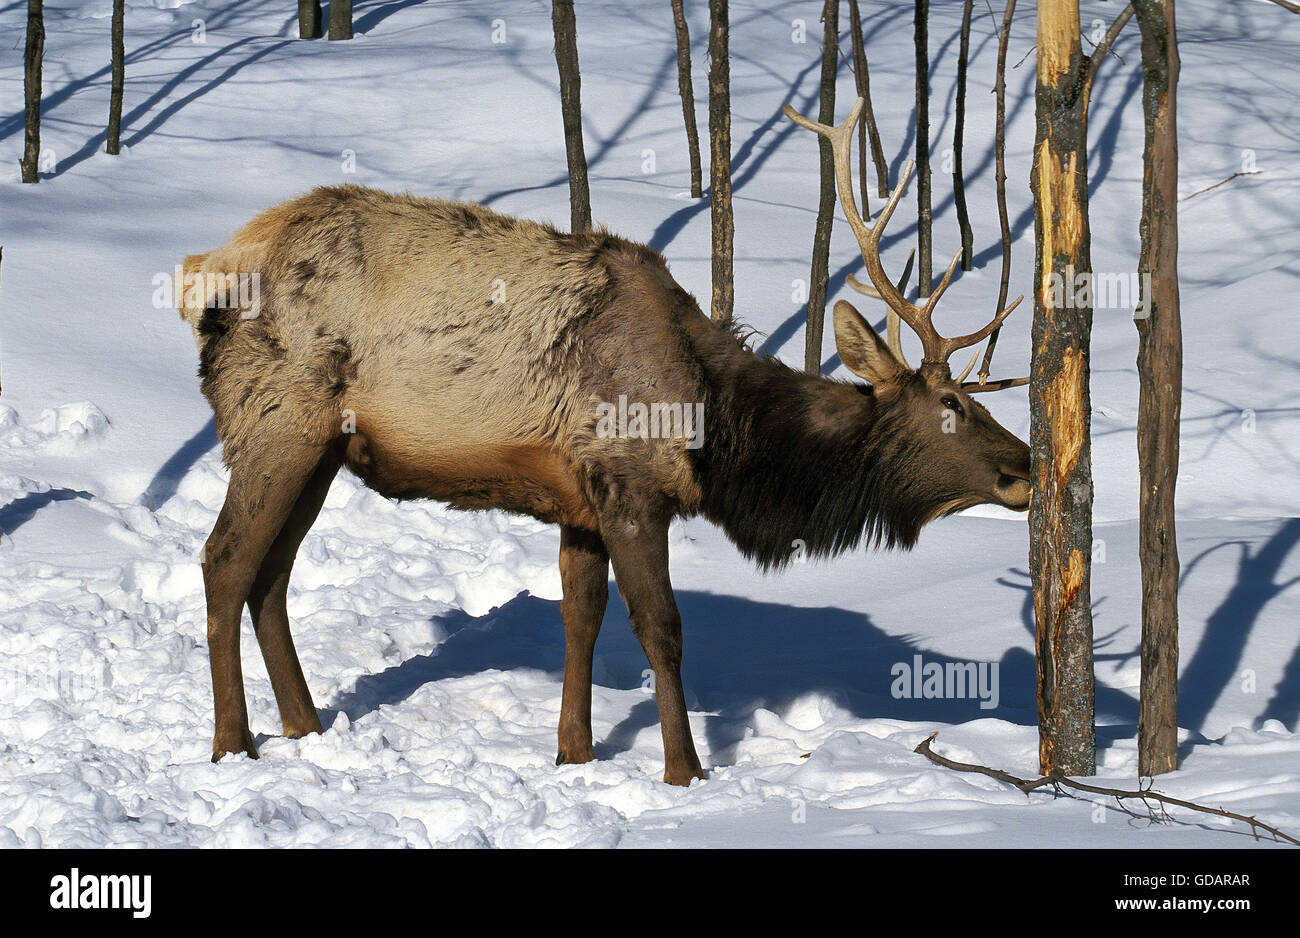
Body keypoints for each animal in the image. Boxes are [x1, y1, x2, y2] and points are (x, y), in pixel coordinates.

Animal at [177, 98, 1030, 787]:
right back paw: (231, 742)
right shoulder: (629, 487)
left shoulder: (578, 500)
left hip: (319, 449)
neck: (718, 435)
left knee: (271, 575)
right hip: (278, 419)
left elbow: (580, 619)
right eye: (952, 403)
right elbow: (663, 630)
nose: (1024, 465)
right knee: (226, 560)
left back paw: (307, 727)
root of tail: (209, 273)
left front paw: (575, 753)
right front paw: (684, 771)